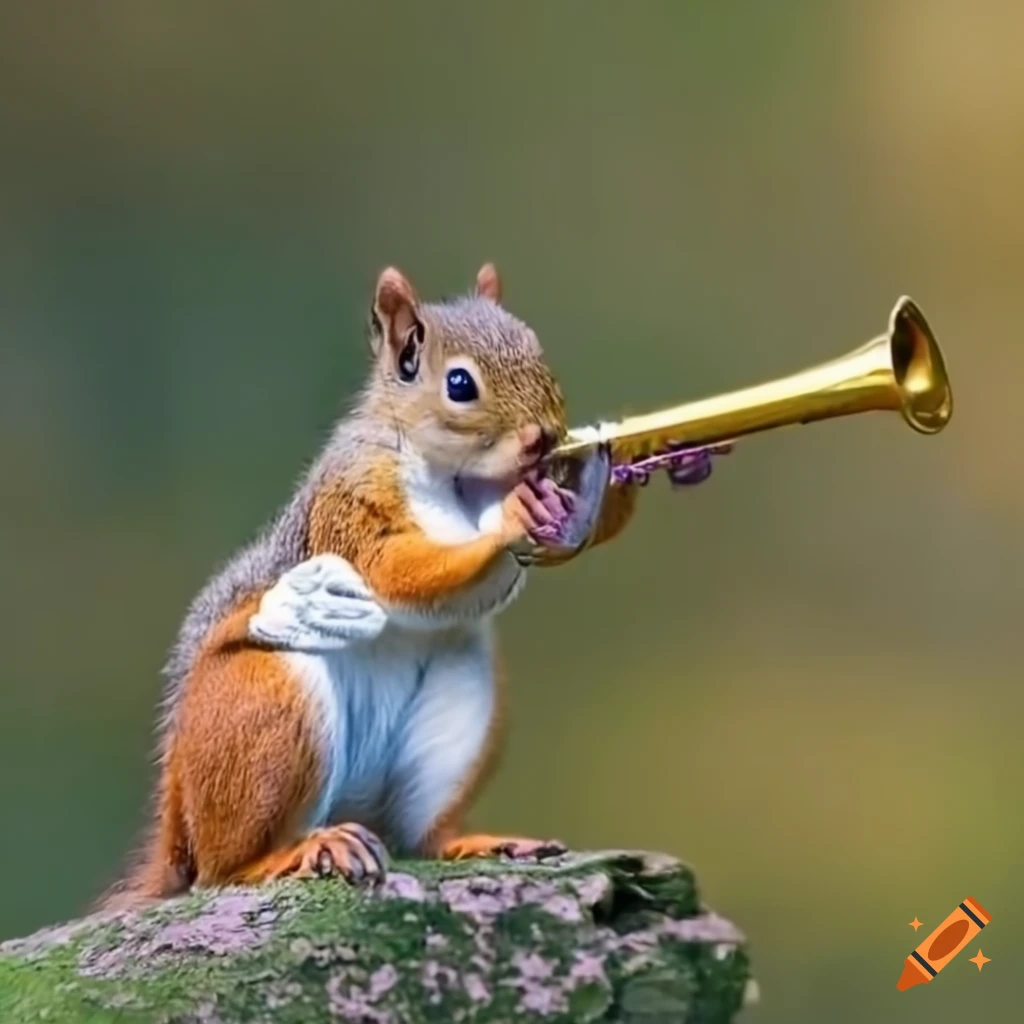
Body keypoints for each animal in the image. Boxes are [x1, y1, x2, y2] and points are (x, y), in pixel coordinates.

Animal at [101, 263, 641, 909]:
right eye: (460, 384)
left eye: (539, 352)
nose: (545, 437)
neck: (453, 475)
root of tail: (179, 814)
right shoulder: (354, 501)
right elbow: (392, 568)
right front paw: (513, 514)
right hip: (265, 710)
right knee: (224, 869)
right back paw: (304, 849)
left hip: (456, 717)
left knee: (422, 836)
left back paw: (475, 842)